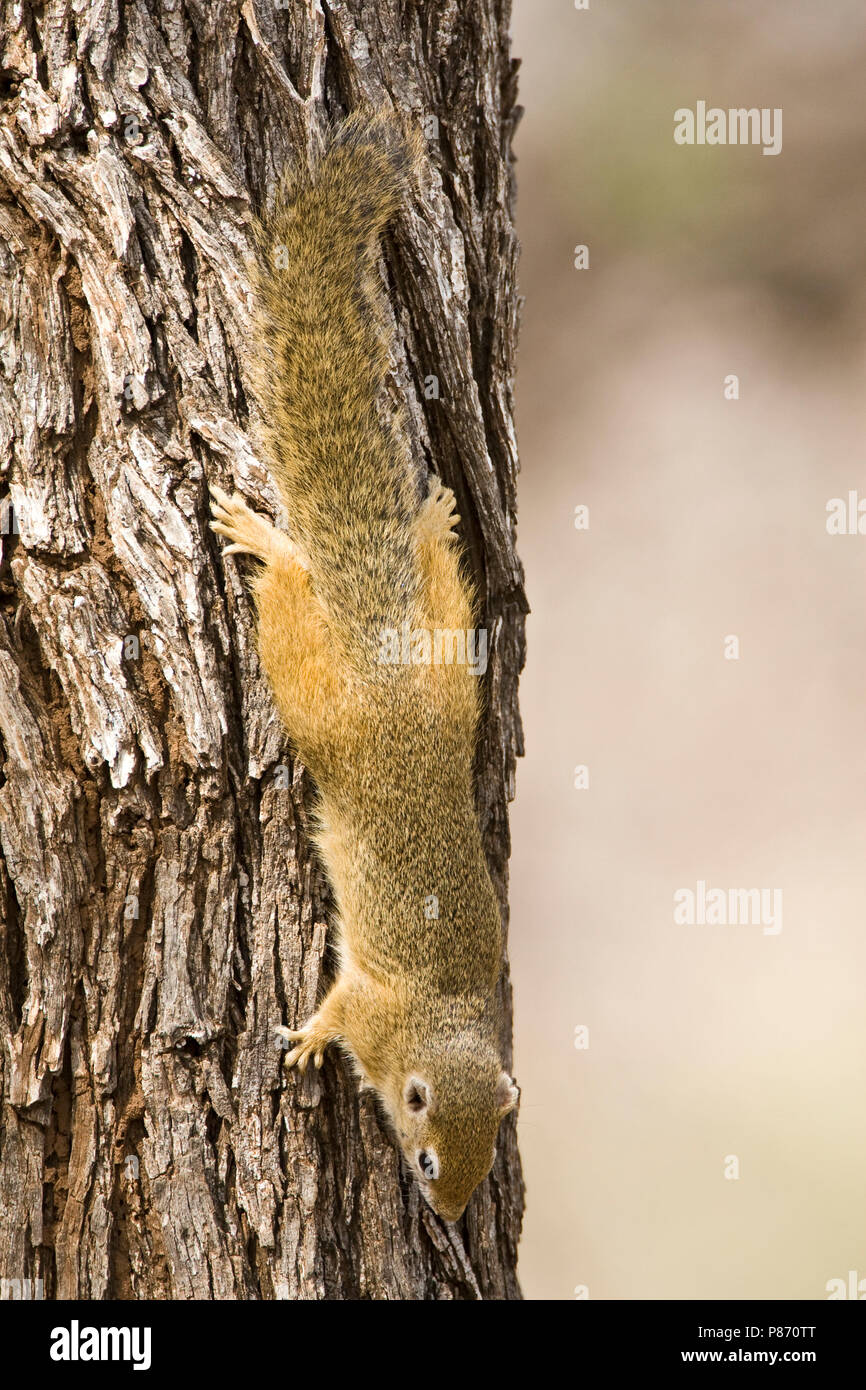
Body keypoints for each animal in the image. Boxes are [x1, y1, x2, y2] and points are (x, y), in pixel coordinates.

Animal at [210, 109, 518, 1224]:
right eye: (428, 1159)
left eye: (489, 1153)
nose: (447, 1216)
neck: (438, 1027)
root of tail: (392, 685)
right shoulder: (369, 1001)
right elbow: (335, 1009)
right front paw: (302, 1043)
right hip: (321, 705)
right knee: (294, 603)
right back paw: (266, 540)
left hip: (451, 677)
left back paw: (430, 524)